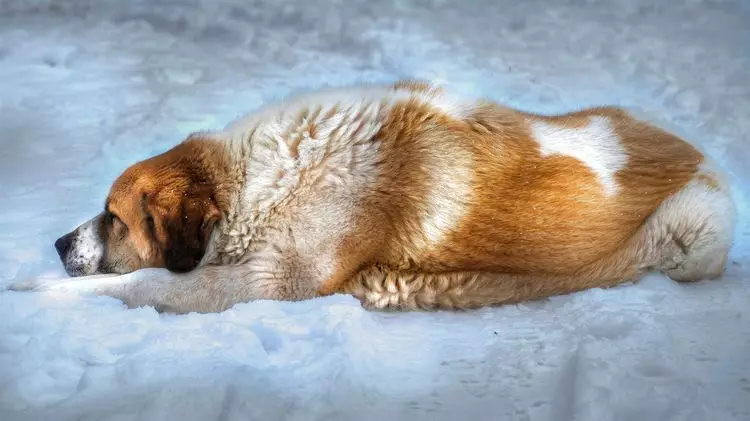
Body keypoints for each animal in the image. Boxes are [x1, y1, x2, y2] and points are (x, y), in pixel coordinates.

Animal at [11, 81, 740, 312]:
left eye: (114, 218)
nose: (57, 241)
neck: (262, 179)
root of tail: (703, 154)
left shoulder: (270, 283)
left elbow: (145, 283)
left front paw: (34, 287)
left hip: (689, 229)